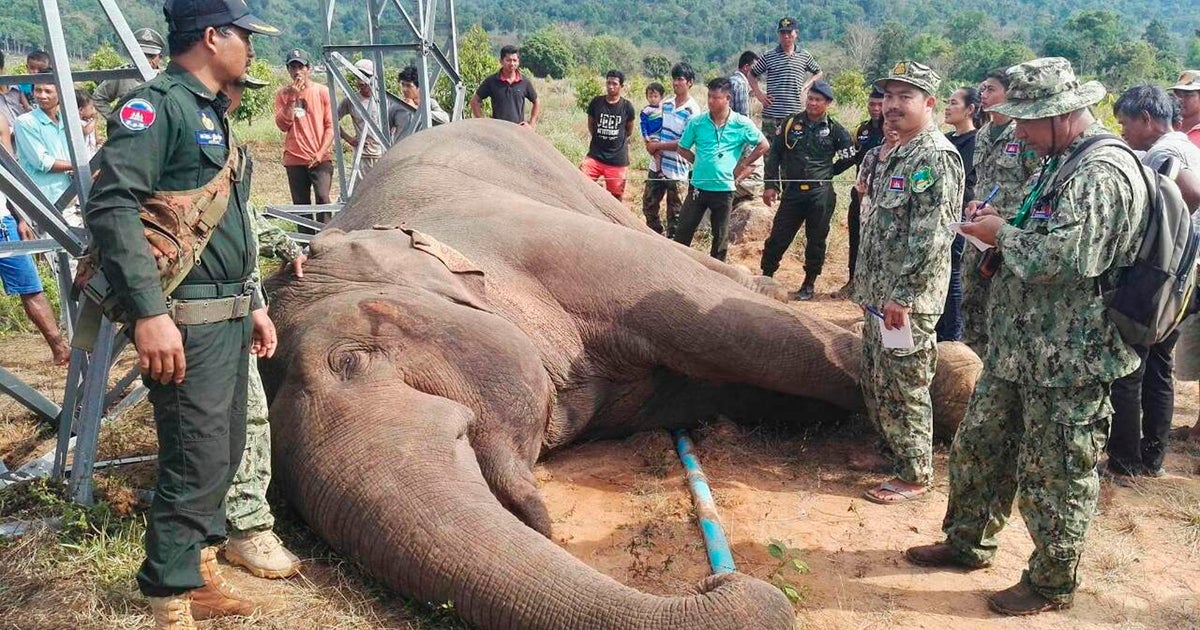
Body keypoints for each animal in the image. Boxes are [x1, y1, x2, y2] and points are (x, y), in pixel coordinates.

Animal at [262, 119, 980, 630]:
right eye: (285, 500)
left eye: (353, 358)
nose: (721, 580)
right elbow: (747, 381)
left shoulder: (553, 245)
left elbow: (734, 330)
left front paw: (959, 379)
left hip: (588, 195)